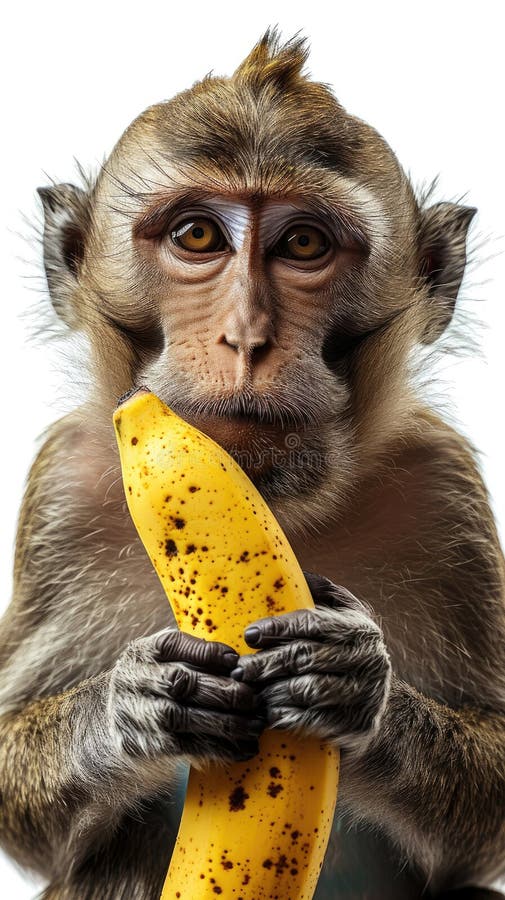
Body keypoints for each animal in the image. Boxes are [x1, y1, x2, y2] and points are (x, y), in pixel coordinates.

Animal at [1, 27, 505, 900]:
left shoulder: (446, 488)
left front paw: (354, 688)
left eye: (303, 243)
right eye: (196, 236)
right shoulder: (64, 490)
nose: (244, 338)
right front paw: (127, 710)